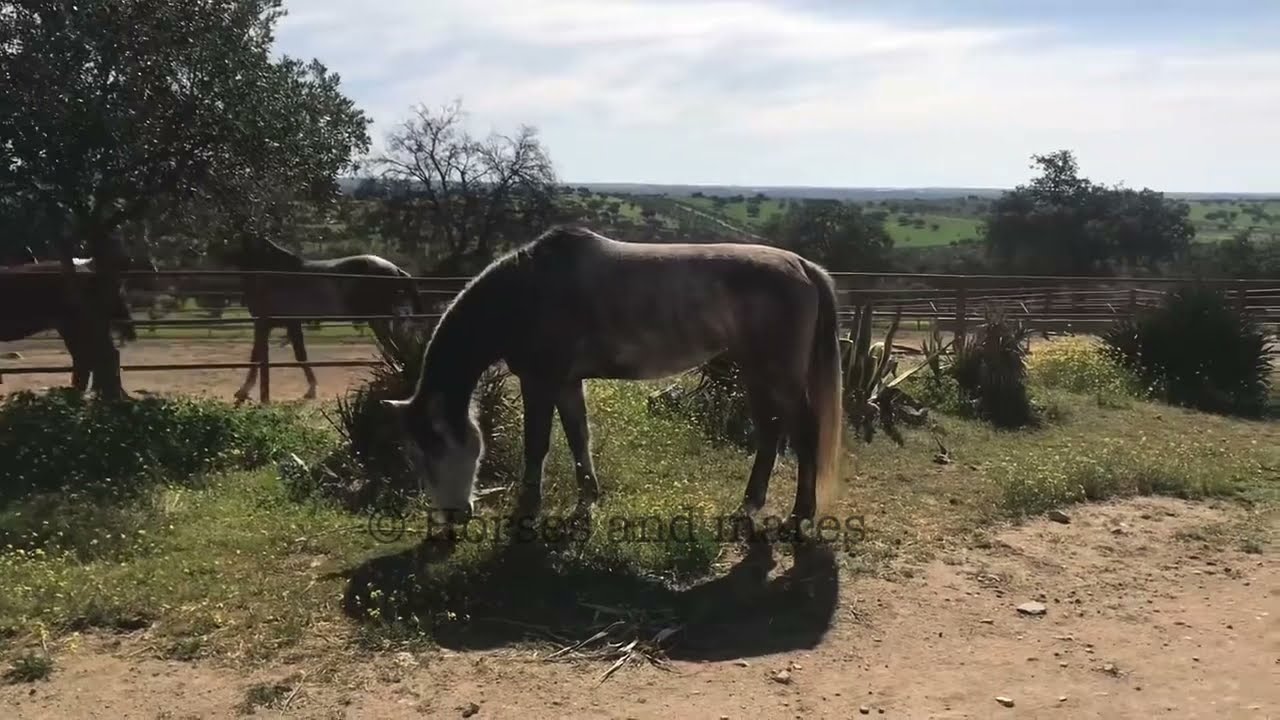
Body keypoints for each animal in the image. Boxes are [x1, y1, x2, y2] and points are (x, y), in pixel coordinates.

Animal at [221, 236, 424, 403]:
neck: (274, 274)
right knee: (396, 349)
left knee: (395, 348)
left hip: (379, 321)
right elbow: (262, 355)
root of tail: (396, 269)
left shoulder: (274, 323)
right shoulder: (273, 324)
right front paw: (243, 391)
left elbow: (289, 356)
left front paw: (311, 389)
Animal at [380, 225, 844, 543]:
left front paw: (526, 515)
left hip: (777, 373)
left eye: (432, 450)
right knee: (770, 435)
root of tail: (803, 266)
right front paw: (587, 501)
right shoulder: (567, 384)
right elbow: (578, 439)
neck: (524, 293)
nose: (451, 518)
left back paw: (799, 517)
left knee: (804, 434)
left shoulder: (539, 381)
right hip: (755, 372)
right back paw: (748, 507)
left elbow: (537, 446)